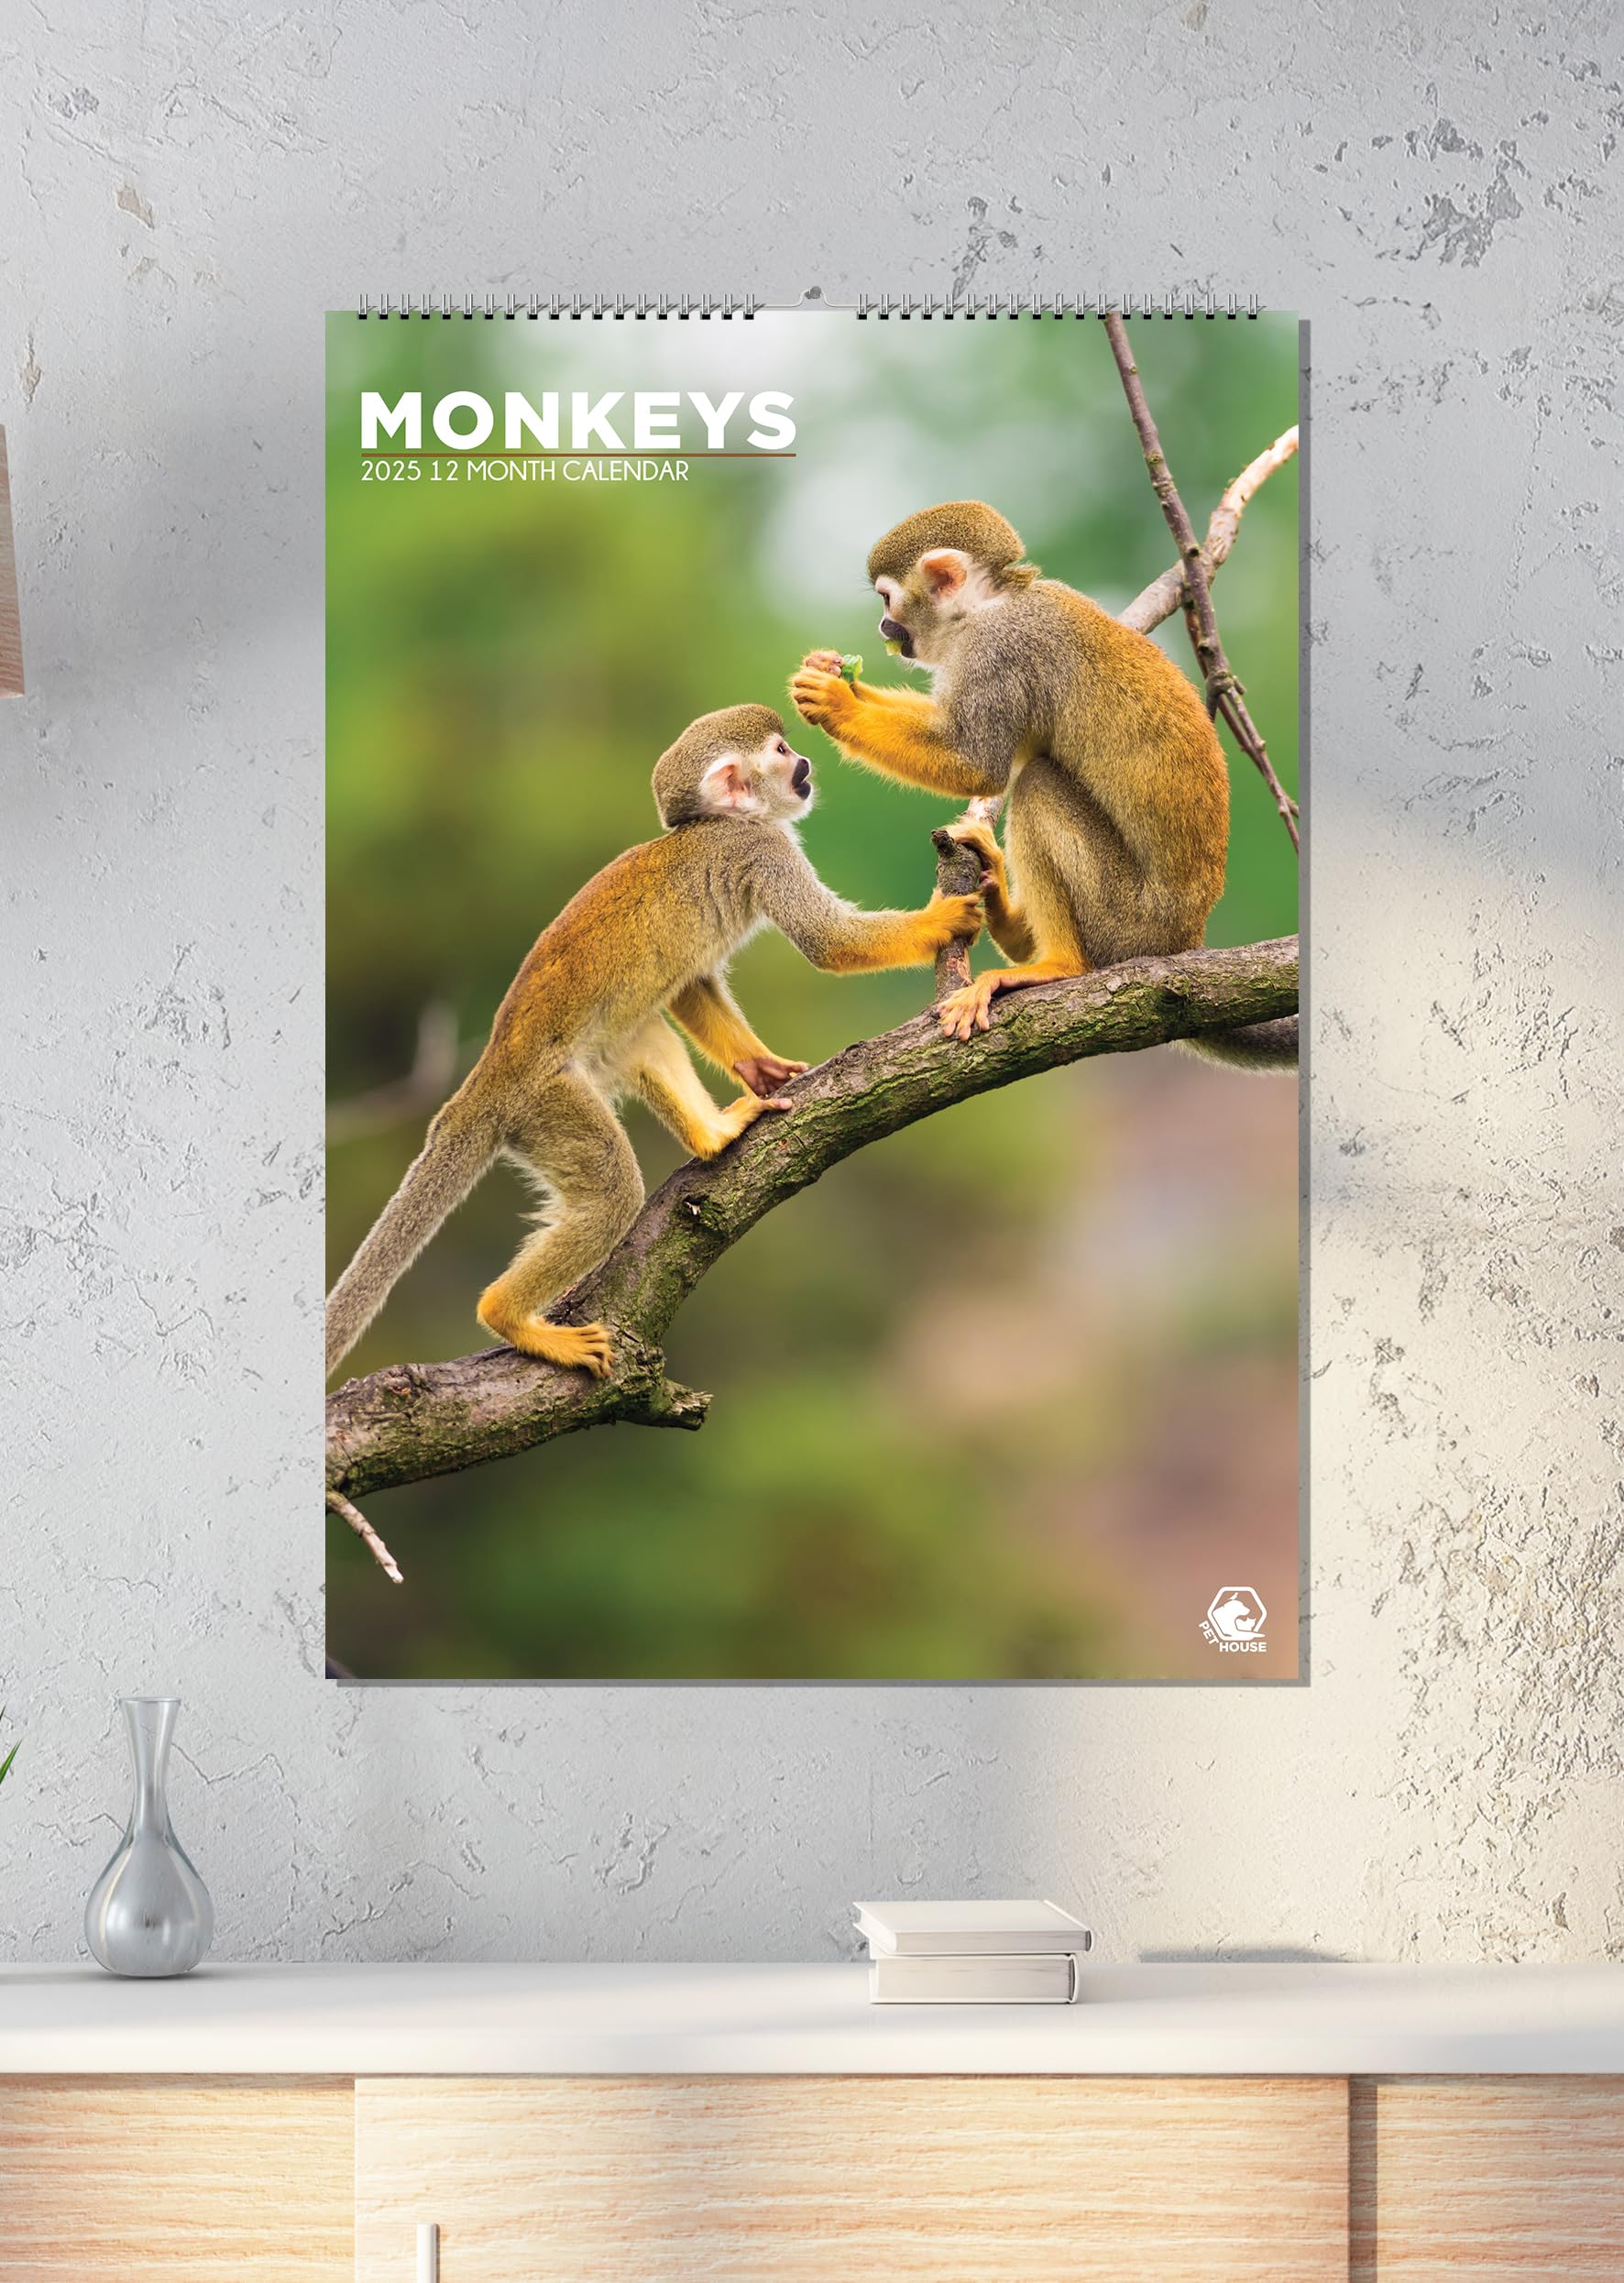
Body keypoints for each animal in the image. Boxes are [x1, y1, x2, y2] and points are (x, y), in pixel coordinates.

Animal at [325, 704, 983, 1384]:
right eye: (780, 751)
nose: (804, 764)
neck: (722, 824)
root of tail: (481, 1084)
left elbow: (690, 984)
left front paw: (761, 1068)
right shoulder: (763, 851)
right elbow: (828, 943)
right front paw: (944, 917)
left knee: (643, 1033)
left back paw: (712, 1135)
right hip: (545, 1104)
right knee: (612, 1194)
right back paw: (509, 1316)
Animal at [790, 502, 1296, 1071]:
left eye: (885, 598)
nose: (883, 626)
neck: (990, 604)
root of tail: (1185, 939)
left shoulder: (999, 651)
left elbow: (977, 764)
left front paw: (838, 704)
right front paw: (830, 673)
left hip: (1124, 918)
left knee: (1038, 784)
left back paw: (1055, 964)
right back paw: (1005, 909)